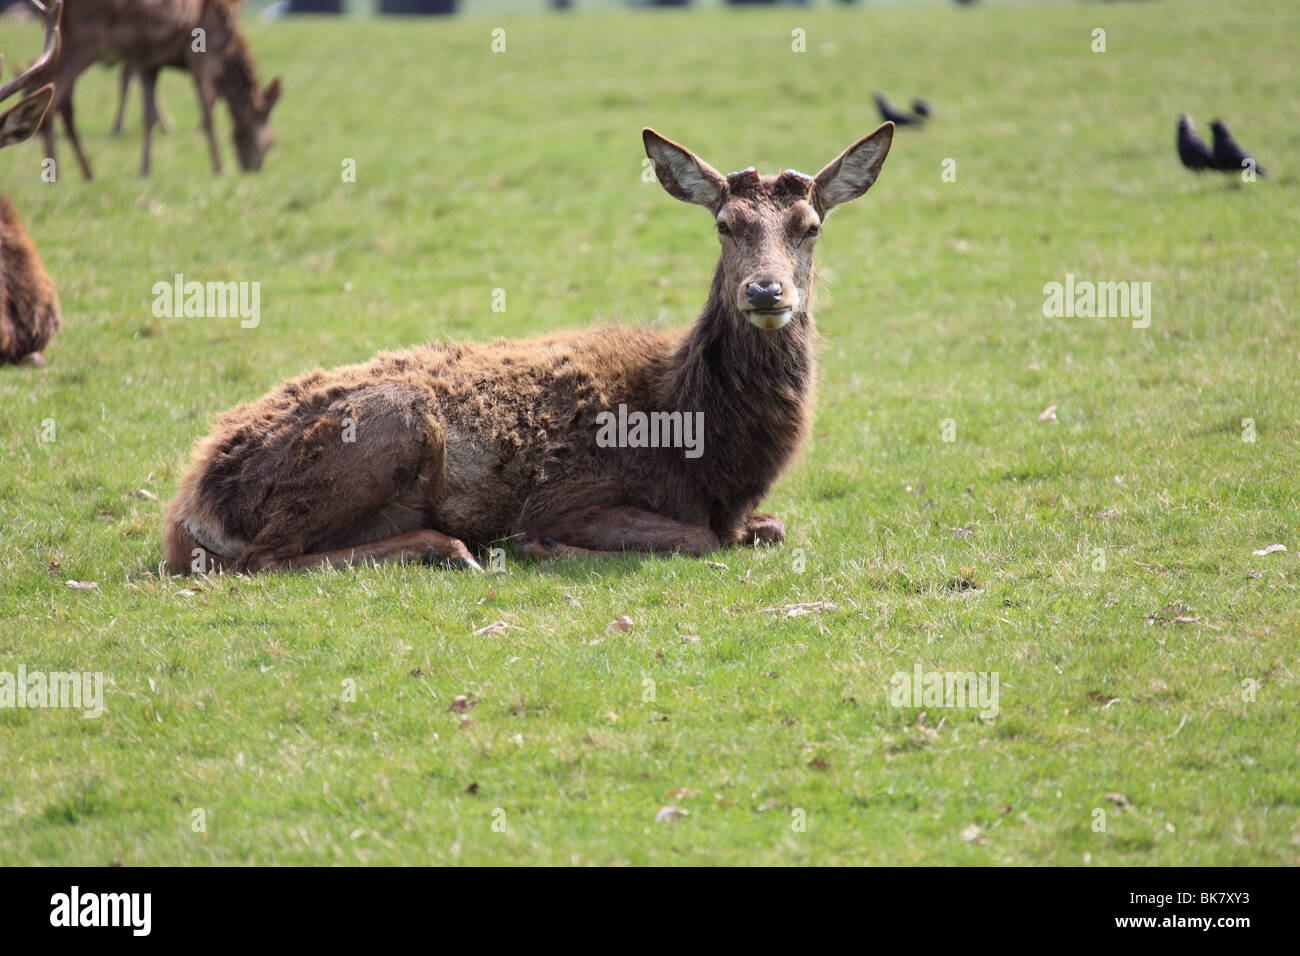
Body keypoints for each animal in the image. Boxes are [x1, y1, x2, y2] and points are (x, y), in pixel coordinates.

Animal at [33, 0, 281, 179]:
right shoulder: (201, 54)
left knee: (55, 95)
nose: (254, 168)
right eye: (271, 143)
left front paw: (145, 170)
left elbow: (148, 117)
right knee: (53, 96)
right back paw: (56, 173)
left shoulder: (150, 62)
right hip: (84, 38)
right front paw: (219, 169)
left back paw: (86, 171)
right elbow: (208, 116)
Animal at [163, 124, 894, 574]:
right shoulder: (573, 492)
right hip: (390, 423)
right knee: (262, 557)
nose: (767, 291)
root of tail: (195, 503)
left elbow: (769, 528)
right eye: (724, 223)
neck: (708, 454)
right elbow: (699, 538)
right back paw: (450, 547)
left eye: (810, 226)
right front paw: (541, 546)